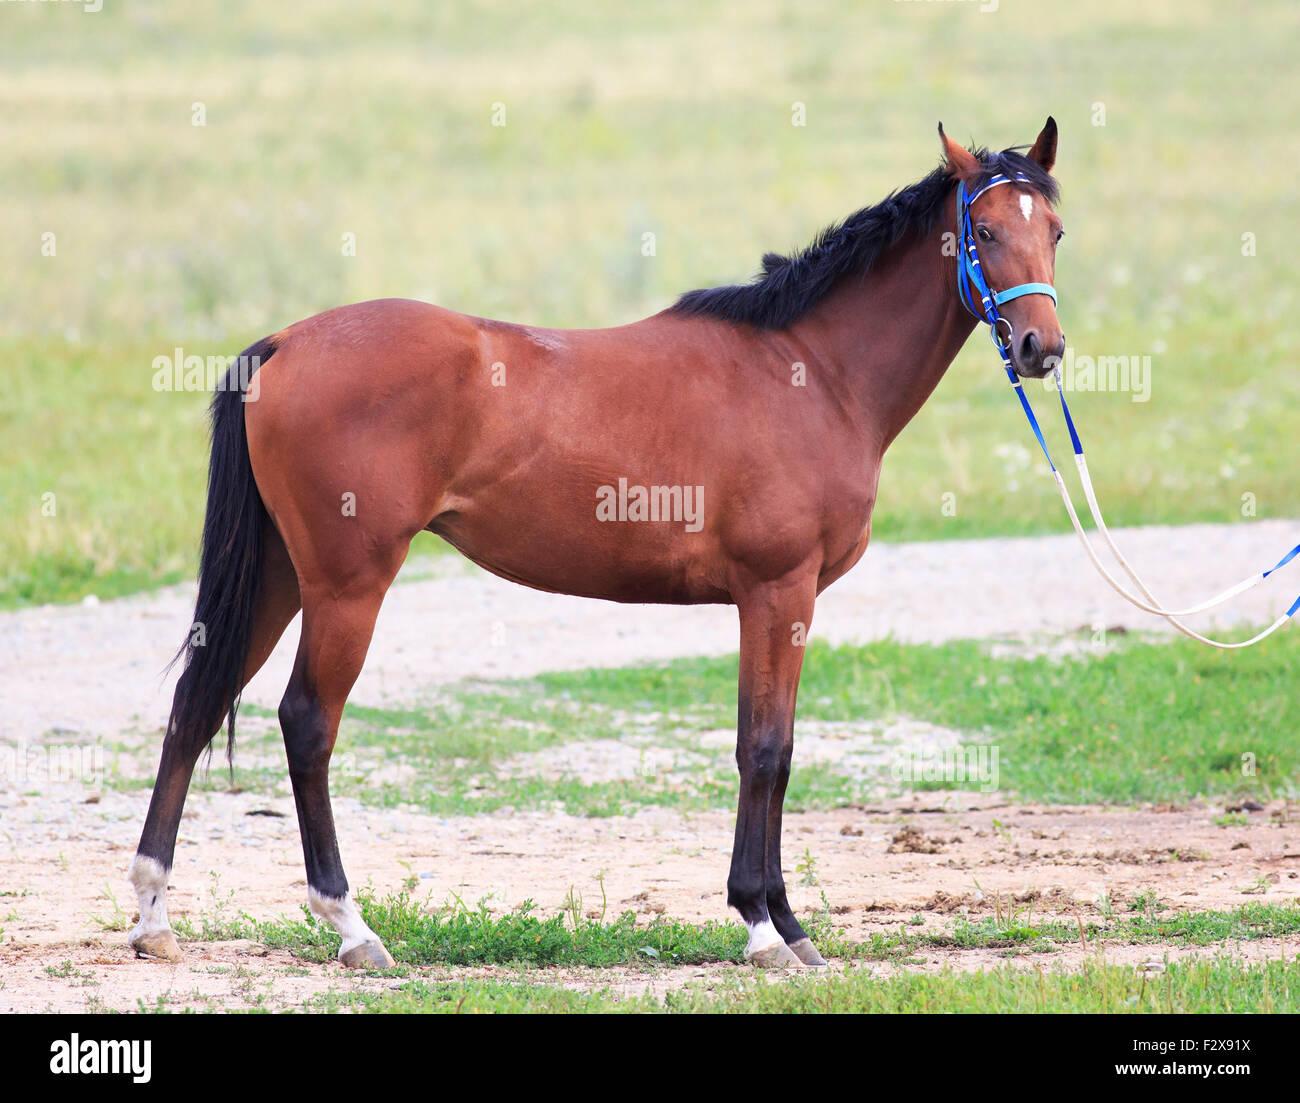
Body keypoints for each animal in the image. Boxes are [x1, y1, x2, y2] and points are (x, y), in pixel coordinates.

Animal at [127, 118, 1066, 969]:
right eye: (984, 231)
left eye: (1054, 230)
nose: (1041, 347)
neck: (812, 372)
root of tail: (285, 342)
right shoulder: (778, 592)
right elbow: (764, 751)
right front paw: (763, 927)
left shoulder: (775, 603)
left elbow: (774, 748)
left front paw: (789, 923)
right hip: (346, 585)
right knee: (306, 721)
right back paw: (352, 925)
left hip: (281, 576)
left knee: (195, 707)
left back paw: (153, 914)